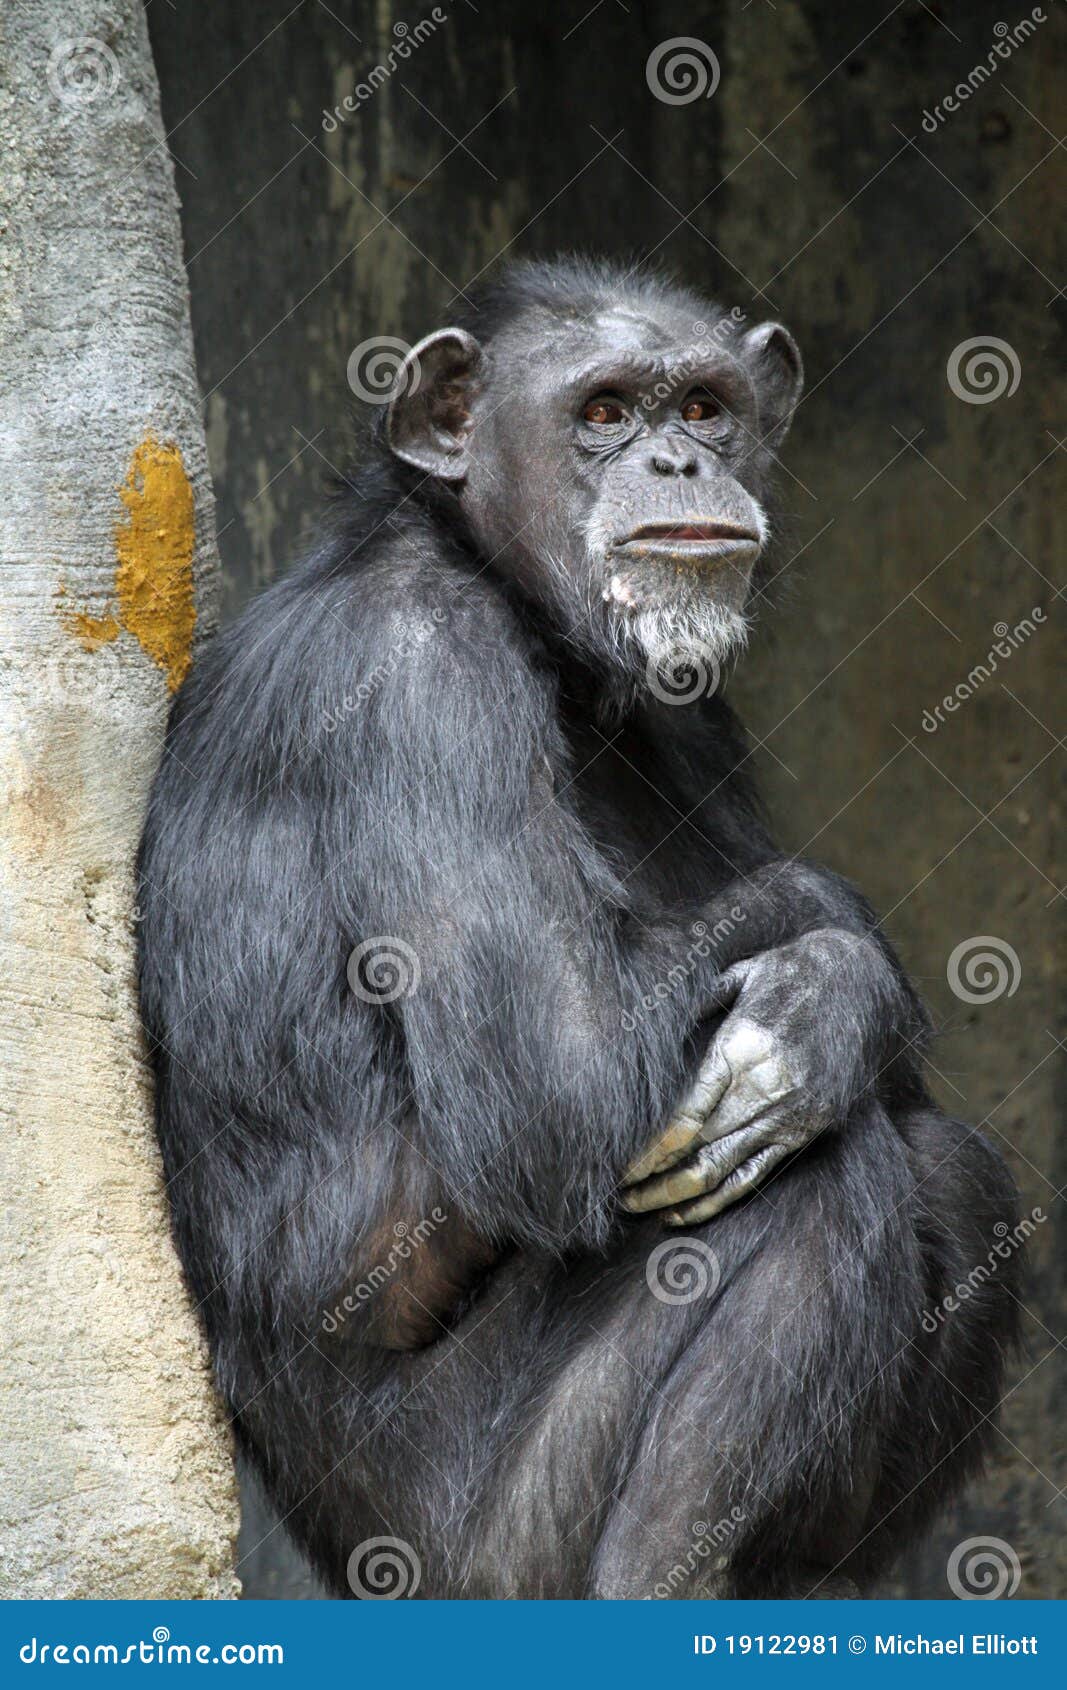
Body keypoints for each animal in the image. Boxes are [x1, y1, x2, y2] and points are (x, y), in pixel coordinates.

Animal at [138, 256, 1019, 1599]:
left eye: (703, 407)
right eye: (601, 412)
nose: (674, 462)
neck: (522, 612)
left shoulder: (698, 717)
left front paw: (838, 998)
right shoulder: (423, 681)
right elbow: (556, 1081)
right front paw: (835, 975)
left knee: (950, 1177)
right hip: (483, 1543)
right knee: (803, 1177)